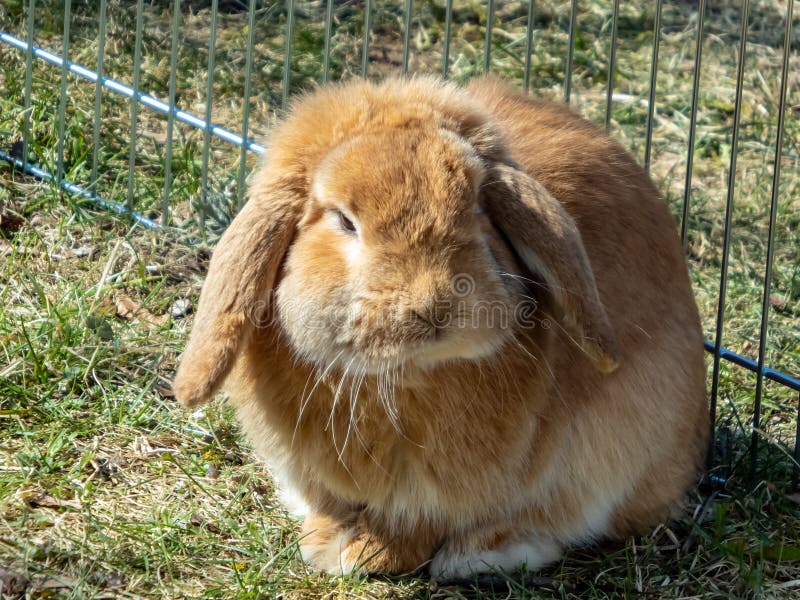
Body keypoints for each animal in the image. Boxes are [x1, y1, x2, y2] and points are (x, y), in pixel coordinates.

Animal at [172, 75, 708, 579]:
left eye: (475, 207)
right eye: (344, 221)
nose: (434, 306)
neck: (404, 376)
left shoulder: (438, 494)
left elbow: (417, 529)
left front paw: (364, 555)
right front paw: (329, 542)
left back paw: (482, 554)